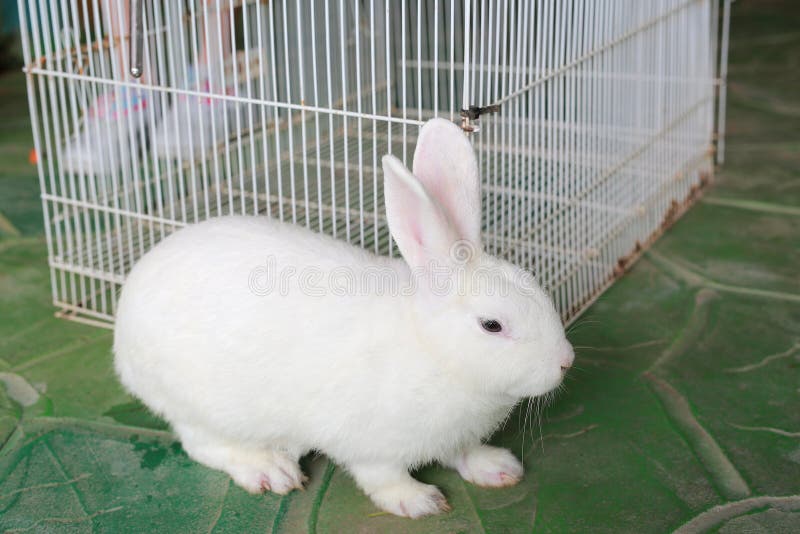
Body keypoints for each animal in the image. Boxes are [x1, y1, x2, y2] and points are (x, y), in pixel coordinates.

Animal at [113, 118, 574, 518]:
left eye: (537, 287)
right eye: (491, 326)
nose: (565, 361)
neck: (434, 352)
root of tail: (122, 333)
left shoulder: (455, 436)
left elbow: (463, 453)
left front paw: (498, 468)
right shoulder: (371, 446)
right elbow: (383, 479)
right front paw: (419, 501)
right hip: (203, 407)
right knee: (203, 445)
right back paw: (269, 470)